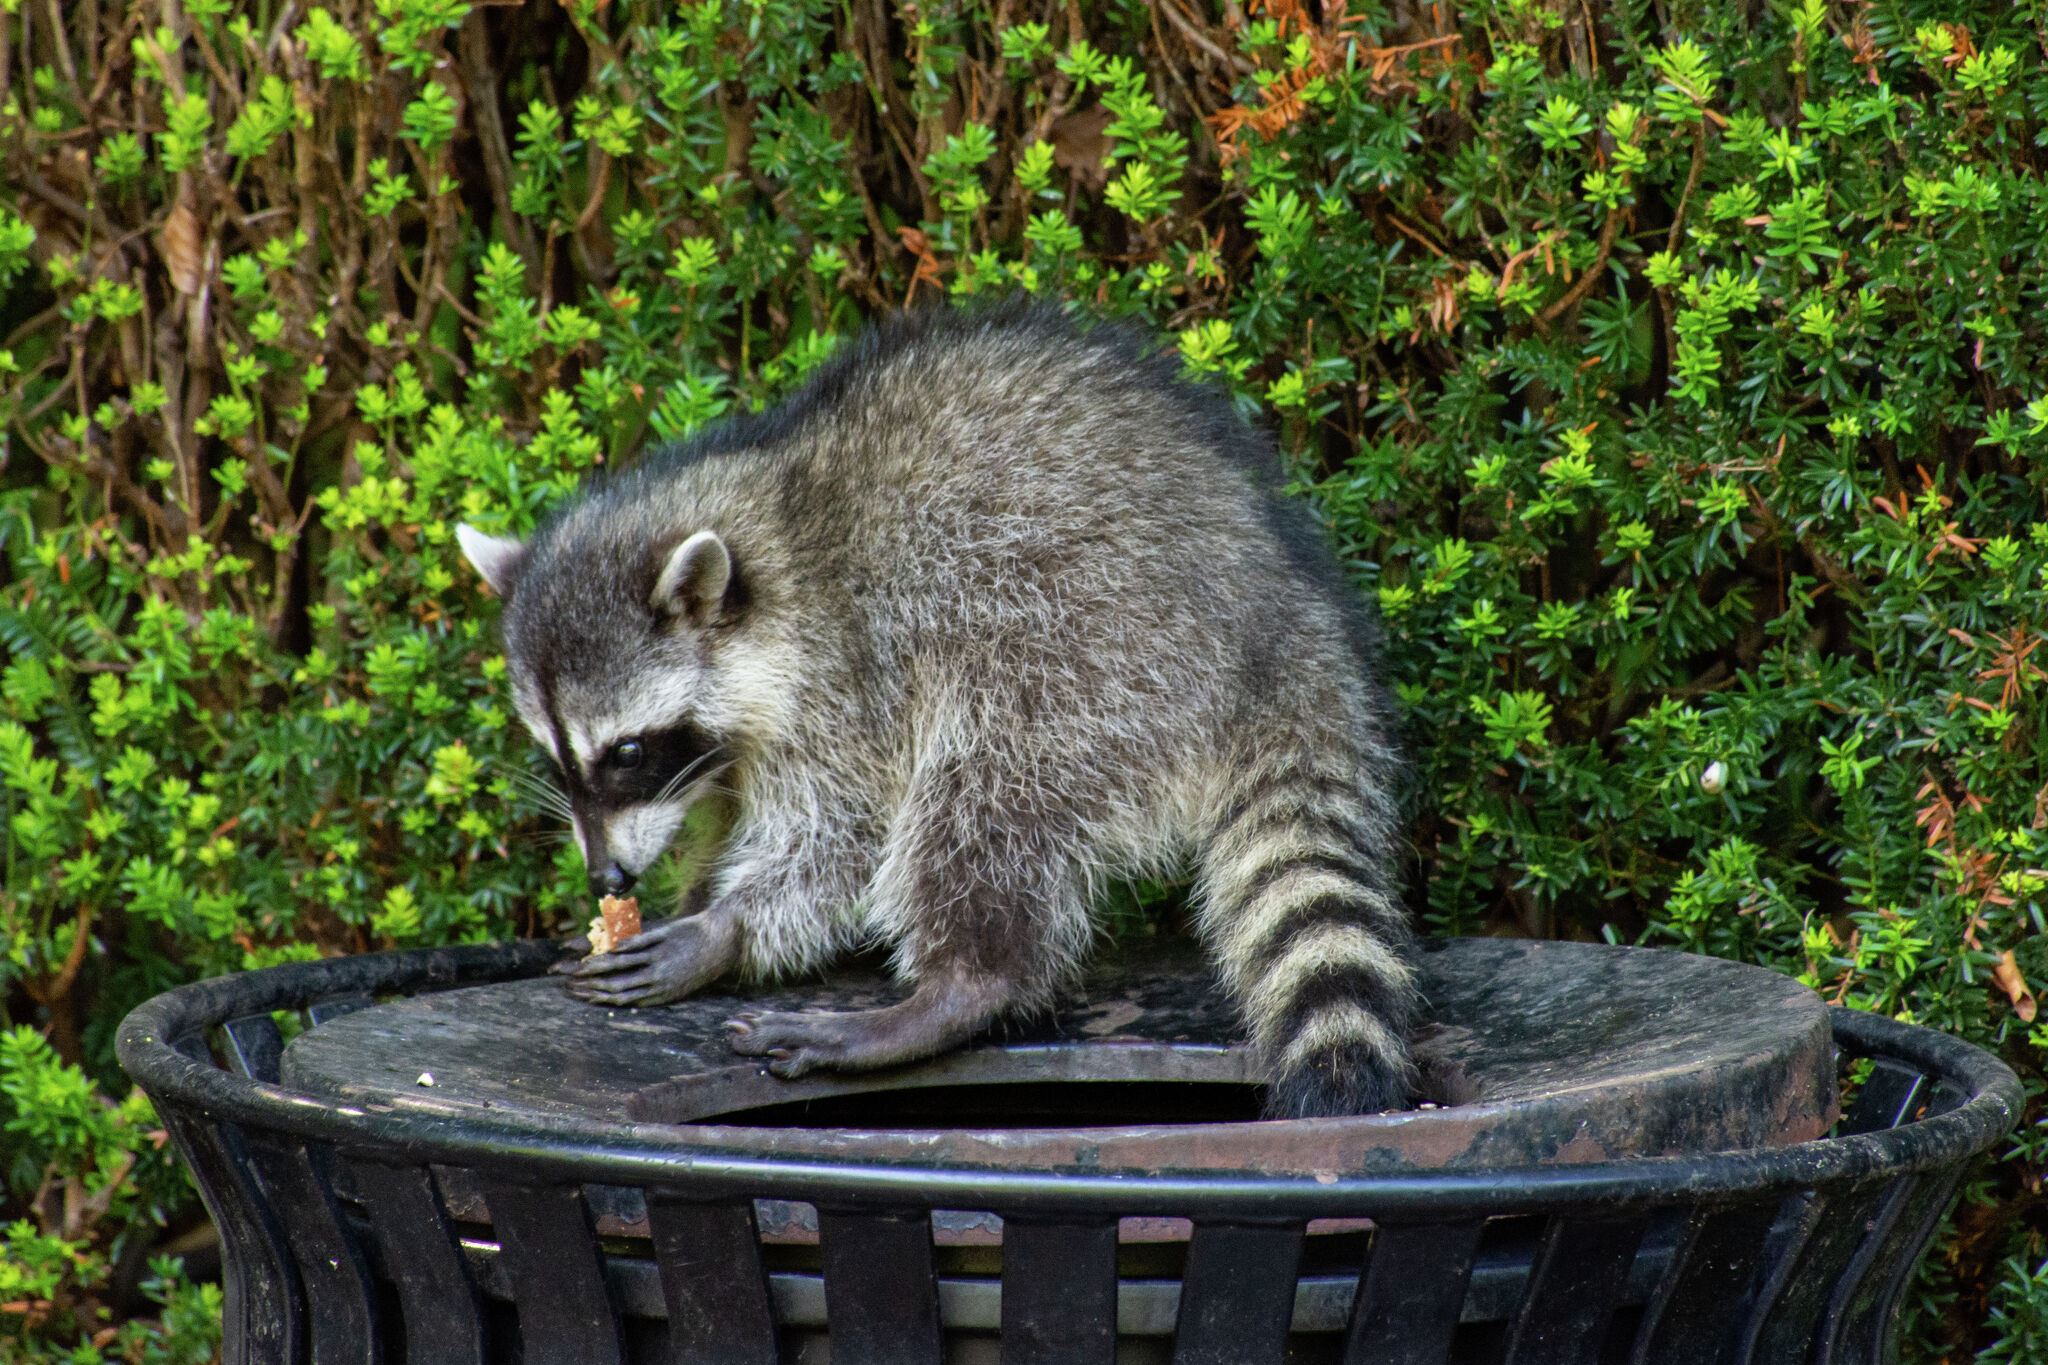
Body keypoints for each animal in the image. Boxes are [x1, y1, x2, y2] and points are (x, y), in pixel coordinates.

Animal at [456, 301, 1417, 1117]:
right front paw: (691, 894)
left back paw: (958, 986)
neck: (769, 524)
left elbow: (841, 838)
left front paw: (721, 928)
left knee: (982, 792)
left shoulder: (847, 676)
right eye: (556, 758)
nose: (606, 879)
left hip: (1094, 651)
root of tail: (1282, 623)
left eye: (626, 752)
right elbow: (729, 819)